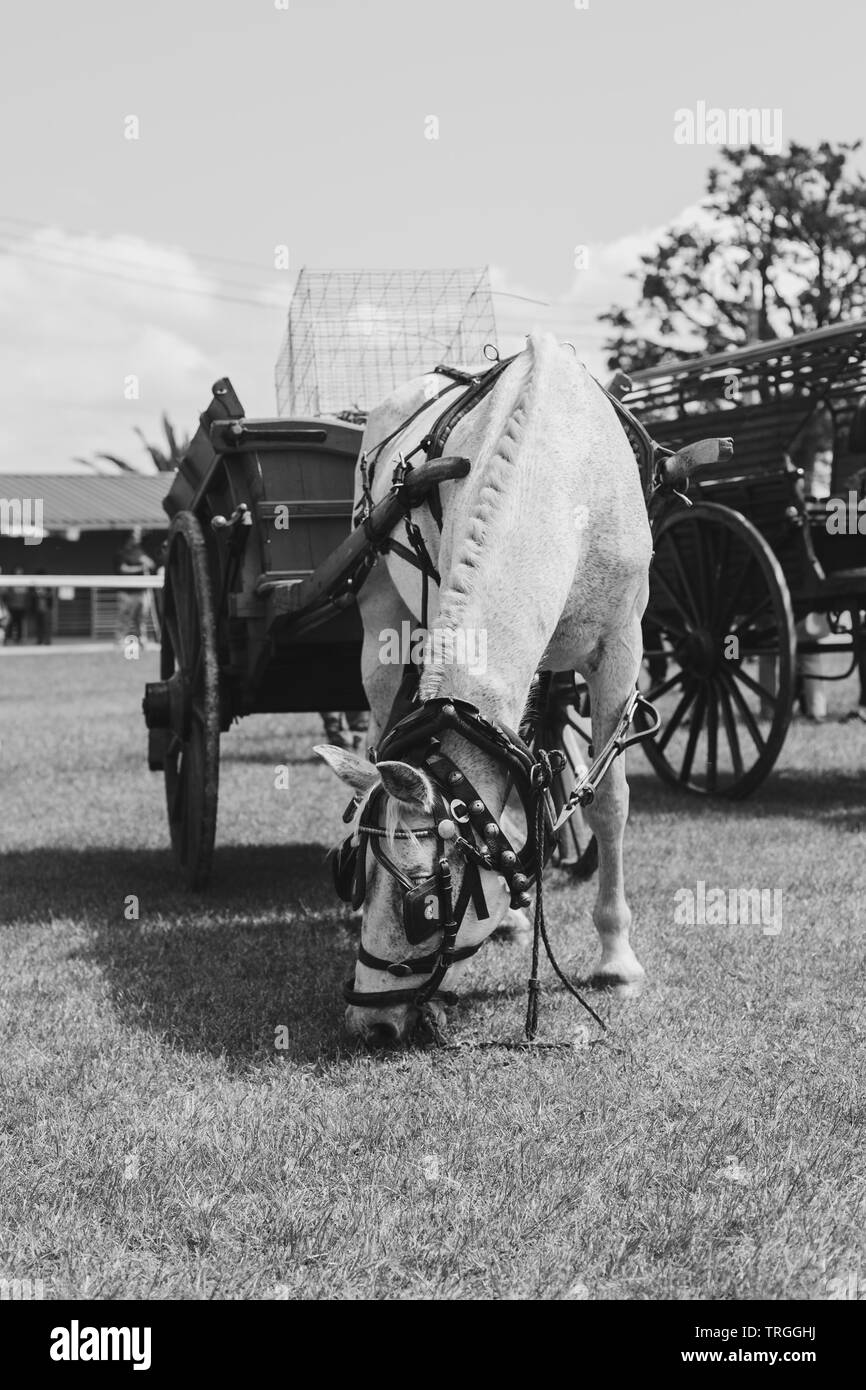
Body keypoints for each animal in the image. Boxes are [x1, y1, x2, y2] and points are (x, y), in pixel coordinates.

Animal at [316, 332, 653, 1046]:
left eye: (422, 901)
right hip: (383, 609)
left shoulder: (621, 645)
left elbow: (607, 800)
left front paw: (616, 956)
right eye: (358, 872)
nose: (367, 1023)